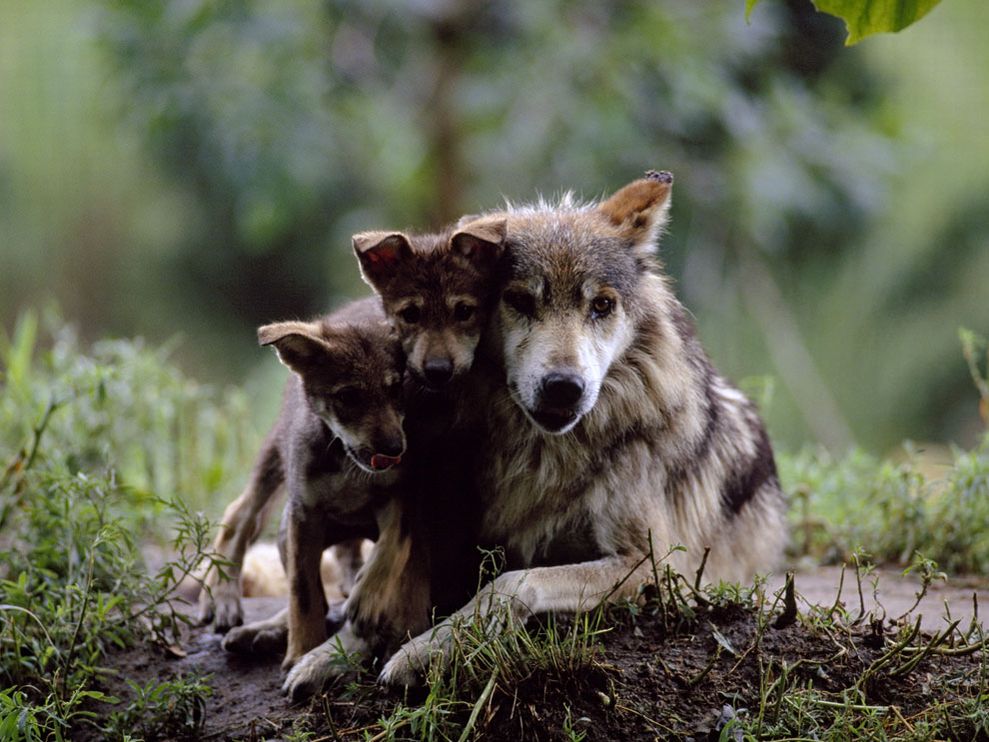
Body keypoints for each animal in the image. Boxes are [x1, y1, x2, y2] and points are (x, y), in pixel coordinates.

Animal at [380, 171, 788, 685]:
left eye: (601, 305)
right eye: (519, 300)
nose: (563, 388)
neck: (549, 455)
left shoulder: (655, 567)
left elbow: (513, 583)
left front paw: (426, 649)